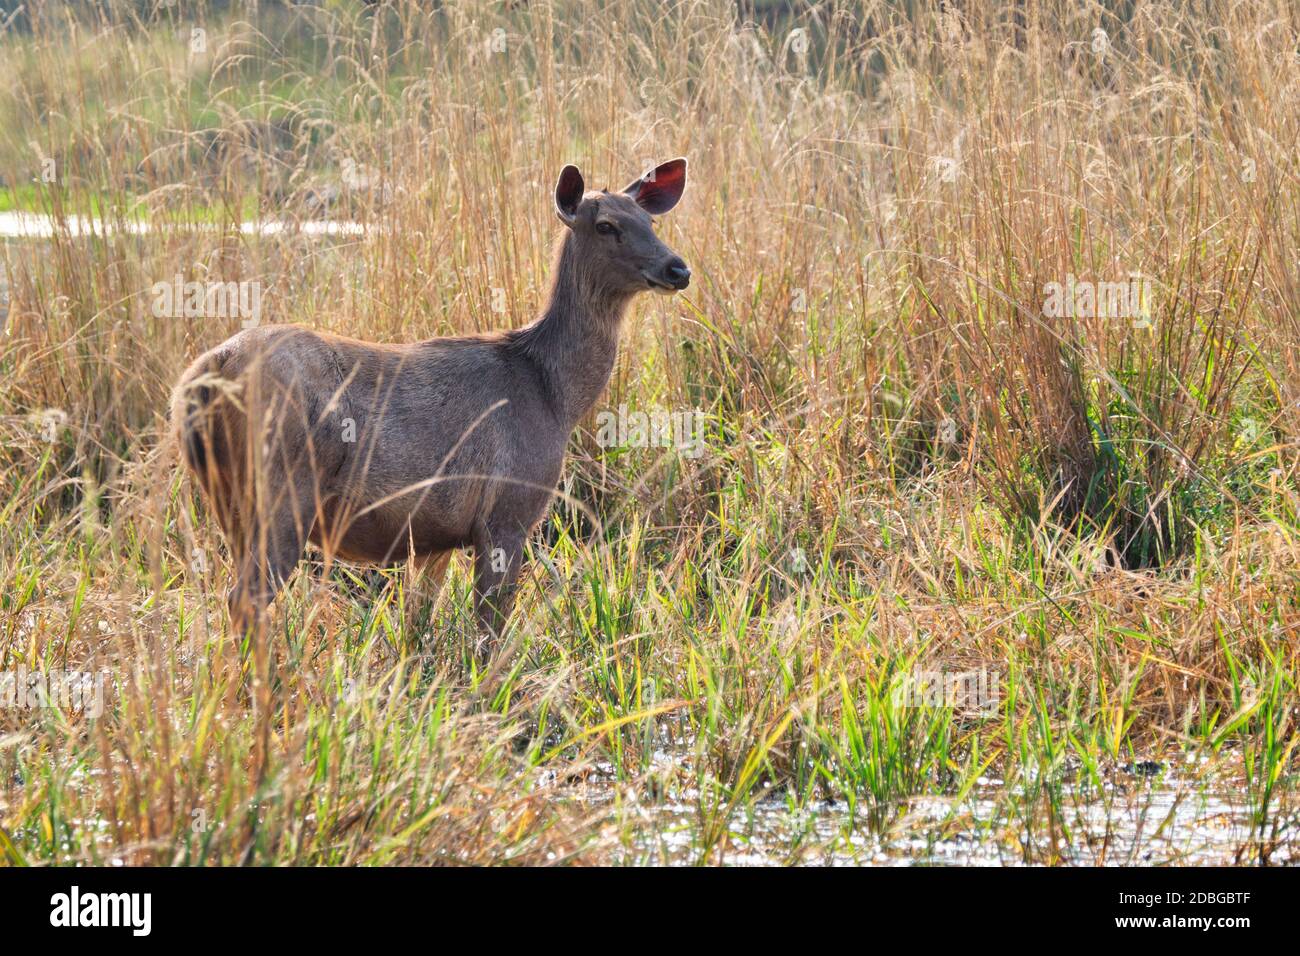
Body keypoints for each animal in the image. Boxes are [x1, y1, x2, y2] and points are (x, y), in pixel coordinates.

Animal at [171, 158, 690, 657]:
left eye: (649, 219)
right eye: (605, 225)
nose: (678, 269)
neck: (553, 396)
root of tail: (202, 376)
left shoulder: (433, 536)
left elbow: (417, 626)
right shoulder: (508, 510)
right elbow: (489, 632)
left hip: (227, 500)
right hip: (281, 488)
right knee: (245, 599)